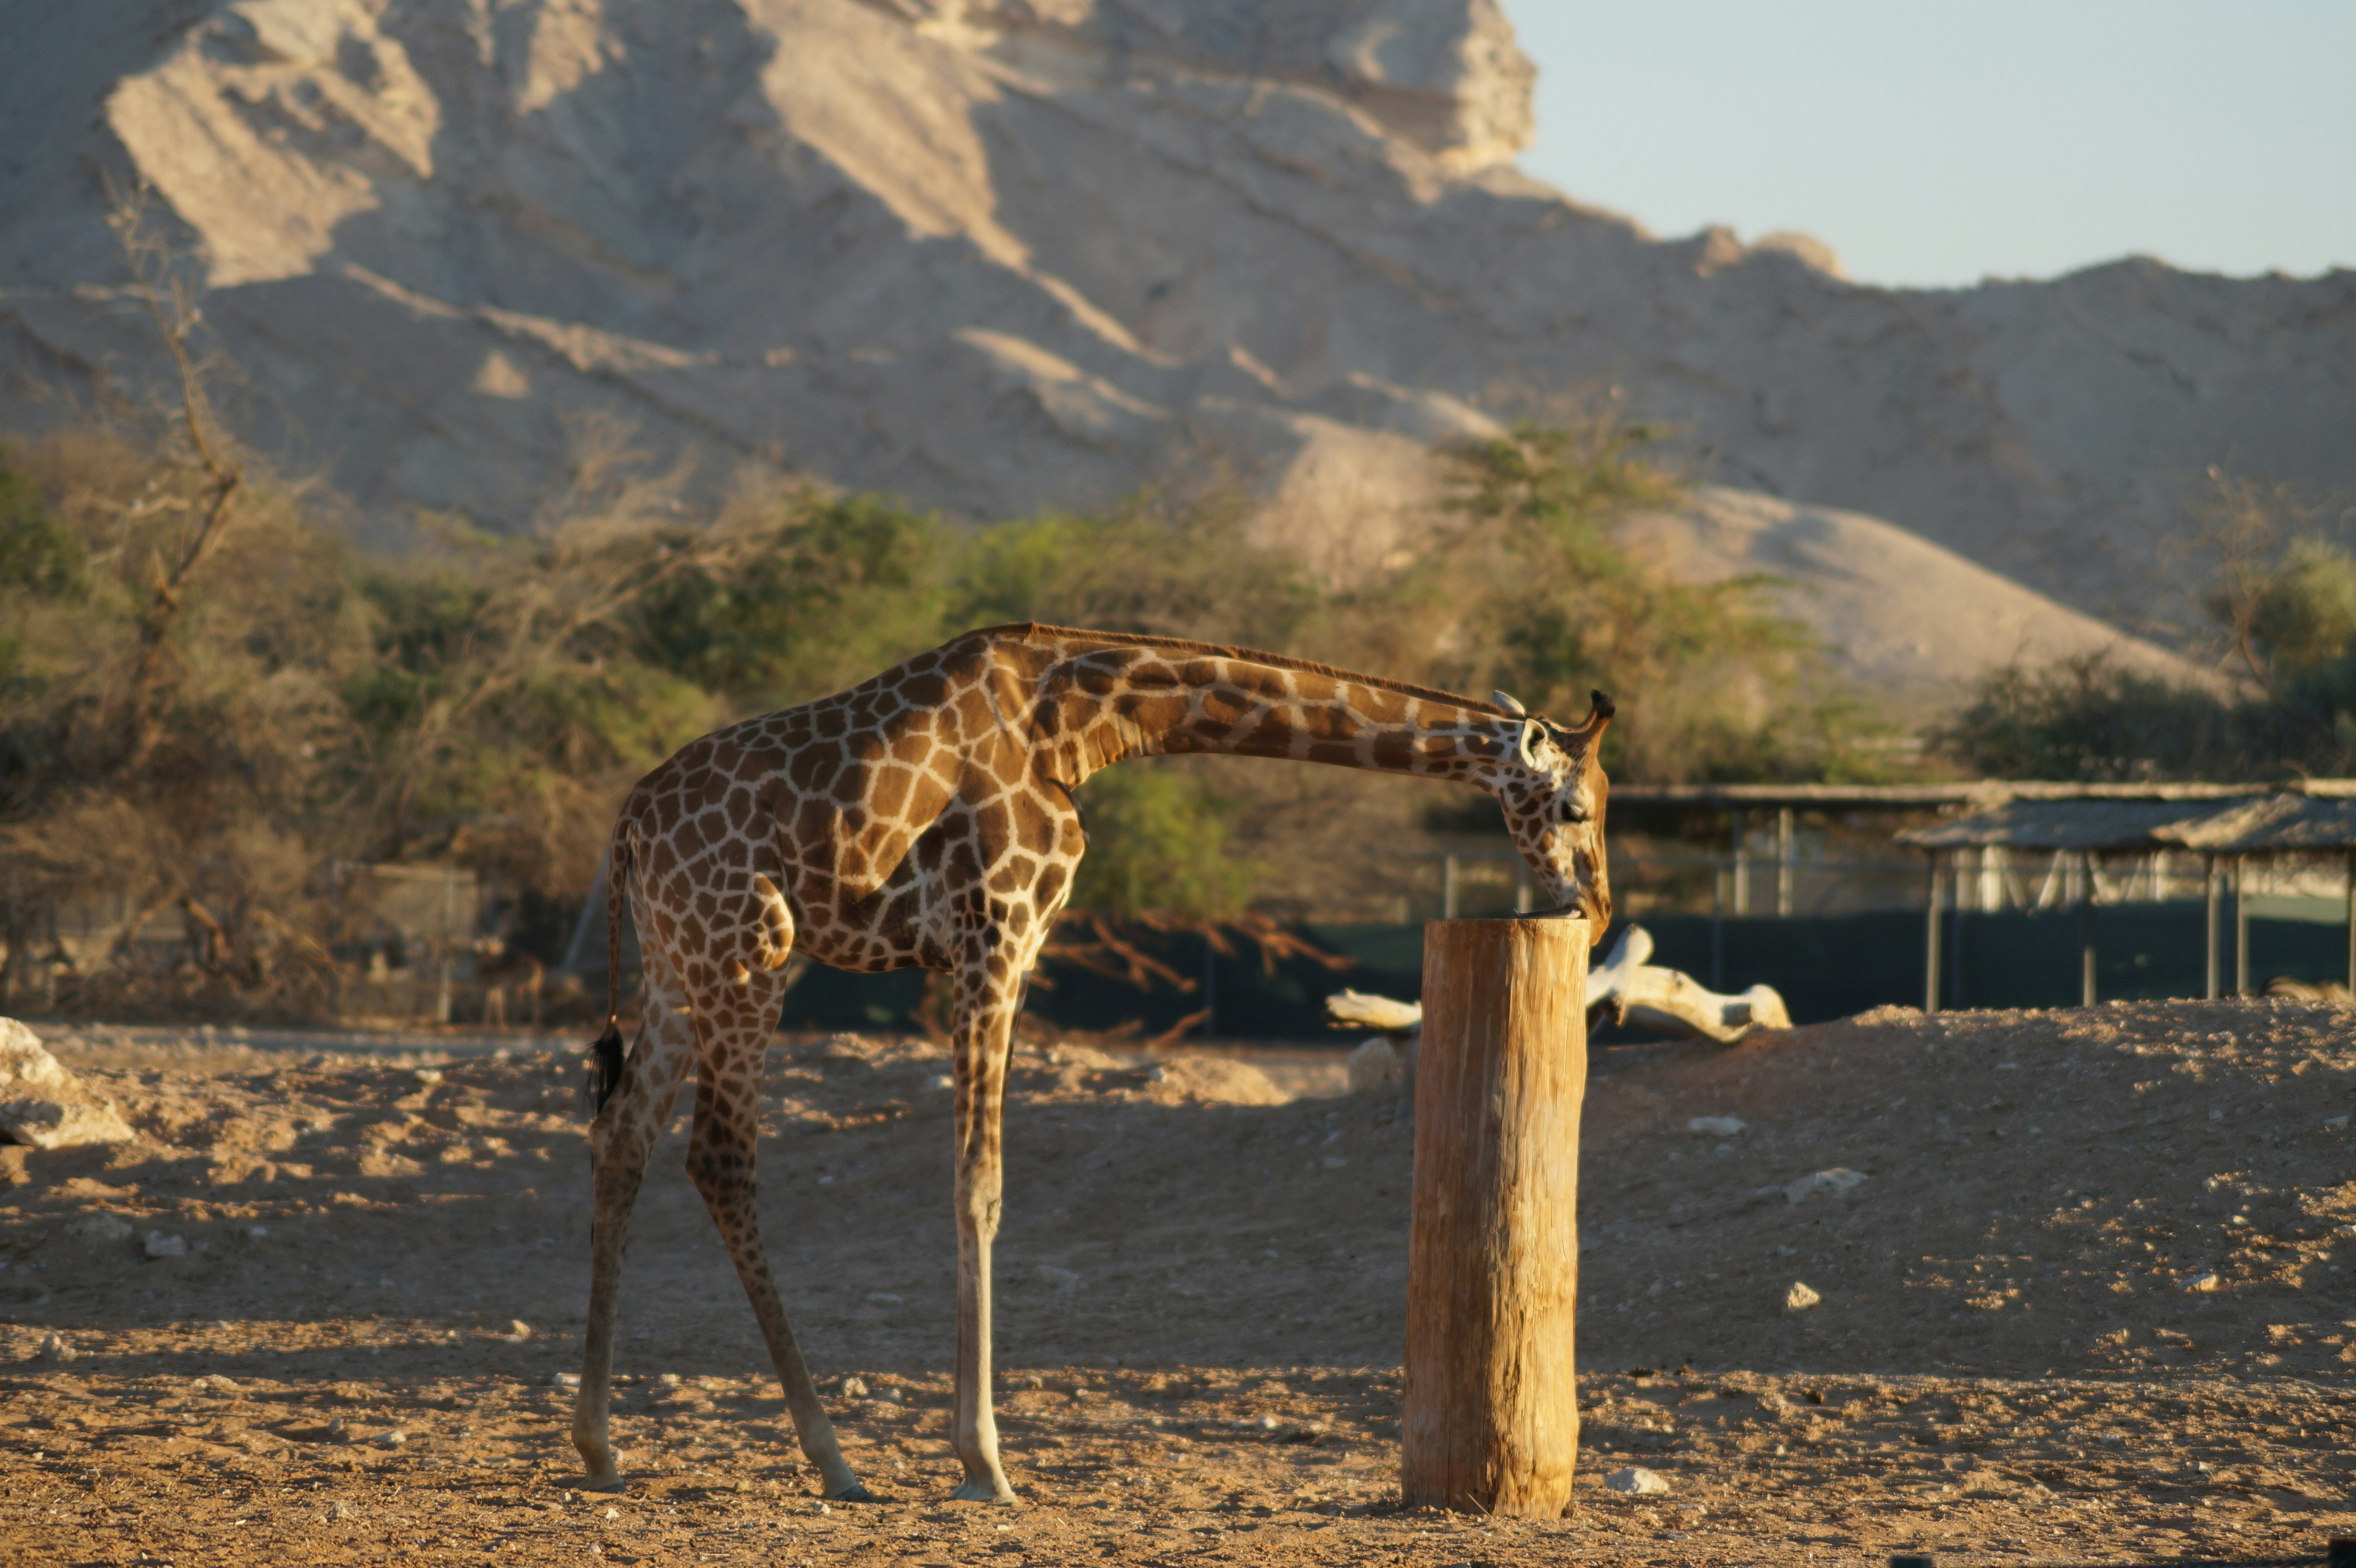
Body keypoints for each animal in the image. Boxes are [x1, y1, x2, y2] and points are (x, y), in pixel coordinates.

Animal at [571, 623, 1613, 1503]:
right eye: (1574, 806)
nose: (1594, 909)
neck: (1077, 723)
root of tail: (624, 823)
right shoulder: (994, 935)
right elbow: (980, 1182)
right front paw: (985, 1462)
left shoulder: (1011, 945)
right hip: (749, 953)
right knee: (718, 1158)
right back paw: (832, 1458)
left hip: (679, 966)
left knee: (620, 1137)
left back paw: (600, 1445)